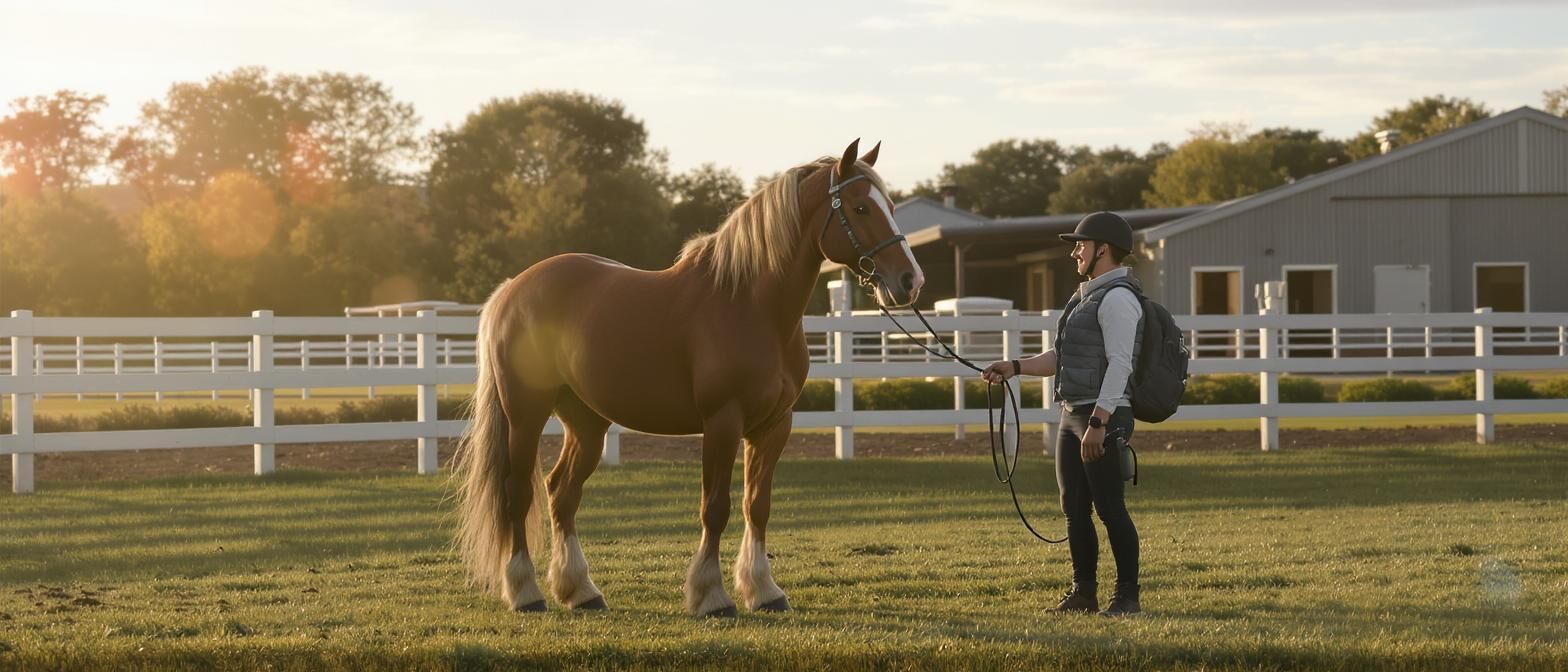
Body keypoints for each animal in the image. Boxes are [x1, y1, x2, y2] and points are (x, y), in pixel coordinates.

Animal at [454, 139, 925, 616]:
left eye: (889, 206)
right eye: (861, 207)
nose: (910, 280)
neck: (751, 305)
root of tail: (512, 289)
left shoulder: (774, 426)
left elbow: (758, 505)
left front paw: (764, 590)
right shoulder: (722, 422)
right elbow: (715, 507)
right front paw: (712, 595)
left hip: (586, 422)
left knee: (561, 493)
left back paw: (581, 590)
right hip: (525, 414)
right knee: (517, 493)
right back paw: (526, 592)